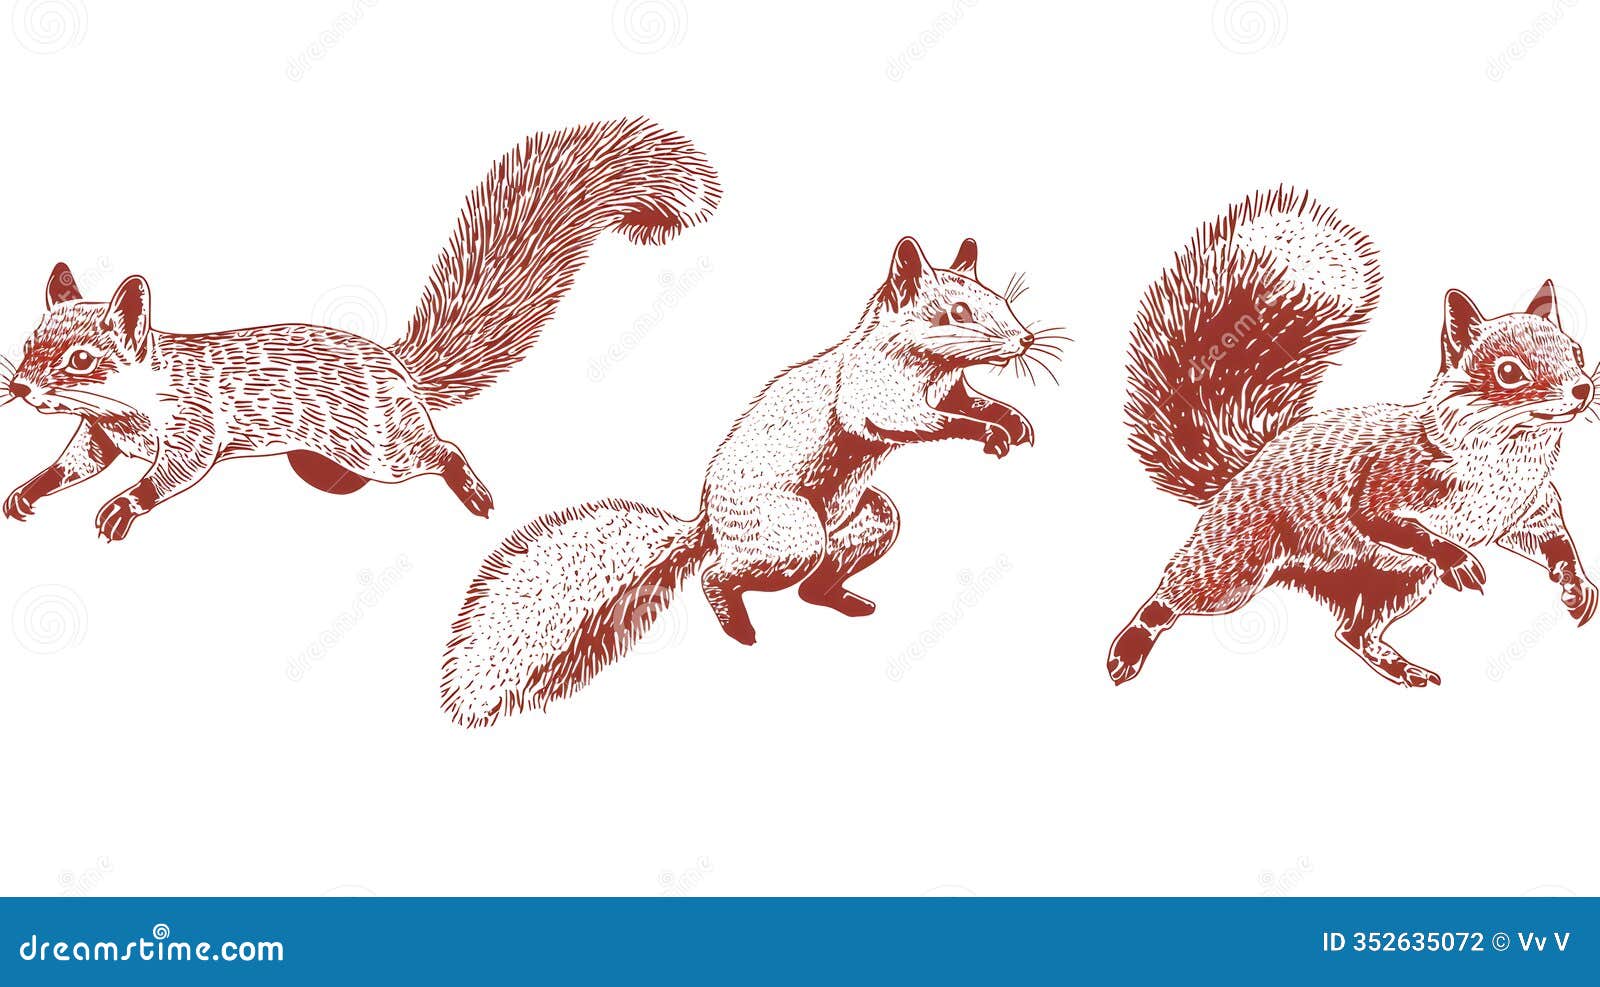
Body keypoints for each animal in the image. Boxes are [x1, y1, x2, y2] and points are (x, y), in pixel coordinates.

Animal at [2, 117, 720, 541]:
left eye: (82, 360)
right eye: (29, 344)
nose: (23, 389)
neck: (130, 405)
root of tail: (398, 367)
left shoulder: (196, 424)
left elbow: (176, 471)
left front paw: (125, 505)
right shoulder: (98, 435)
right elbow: (72, 464)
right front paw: (27, 491)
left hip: (383, 446)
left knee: (440, 450)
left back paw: (474, 490)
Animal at [440, 236, 1061, 727]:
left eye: (1005, 300)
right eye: (957, 310)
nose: (1026, 341)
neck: (925, 366)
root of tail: (708, 527)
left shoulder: (951, 388)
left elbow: (971, 401)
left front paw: (1011, 421)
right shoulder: (874, 395)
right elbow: (908, 420)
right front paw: (985, 431)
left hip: (867, 519)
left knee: (816, 583)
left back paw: (845, 602)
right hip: (790, 537)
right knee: (719, 575)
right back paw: (740, 628)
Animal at [1111, 187, 1596, 688]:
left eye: (1577, 351)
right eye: (1508, 371)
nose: (1582, 389)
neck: (1510, 456)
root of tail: (1244, 468)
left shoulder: (1530, 509)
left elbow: (1554, 540)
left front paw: (1576, 585)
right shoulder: (1388, 480)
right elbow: (1381, 518)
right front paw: (1456, 558)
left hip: (1400, 581)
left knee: (1352, 631)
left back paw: (1402, 669)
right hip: (1234, 563)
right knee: (1175, 594)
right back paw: (1128, 648)